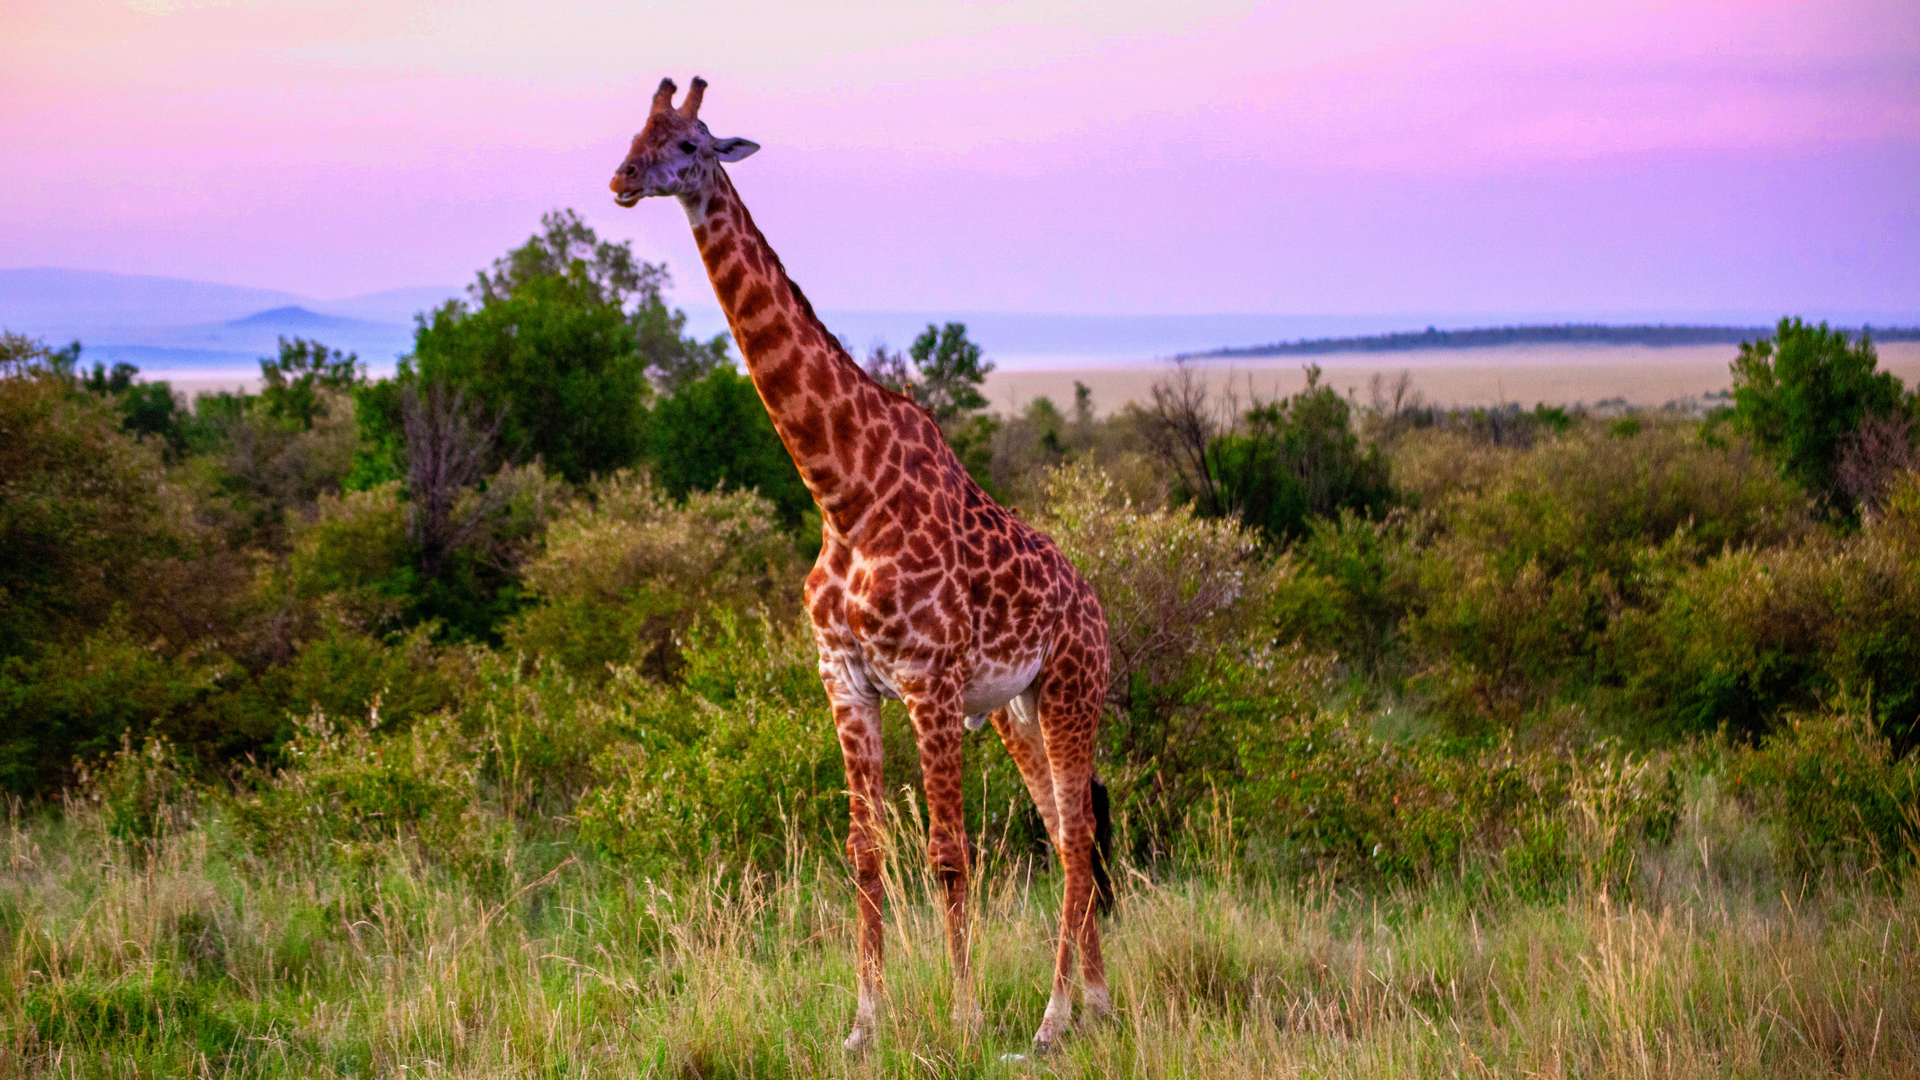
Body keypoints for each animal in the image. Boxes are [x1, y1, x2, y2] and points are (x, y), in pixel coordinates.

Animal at [610, 77, 1113, 1053]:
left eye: (687, 143)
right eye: (632, 132)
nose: (619, 181)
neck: (845, 495)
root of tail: (1100, 608)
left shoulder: (928, 680)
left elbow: (948, 854)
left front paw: (964, 1018)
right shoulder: (843, 680)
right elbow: (866, 853)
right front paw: (863, 1026)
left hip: (1074, 689)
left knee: (1075, 838)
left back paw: (1050, 1020)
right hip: (1018, 708)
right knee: (1062, 824)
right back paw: (1096, 1004)